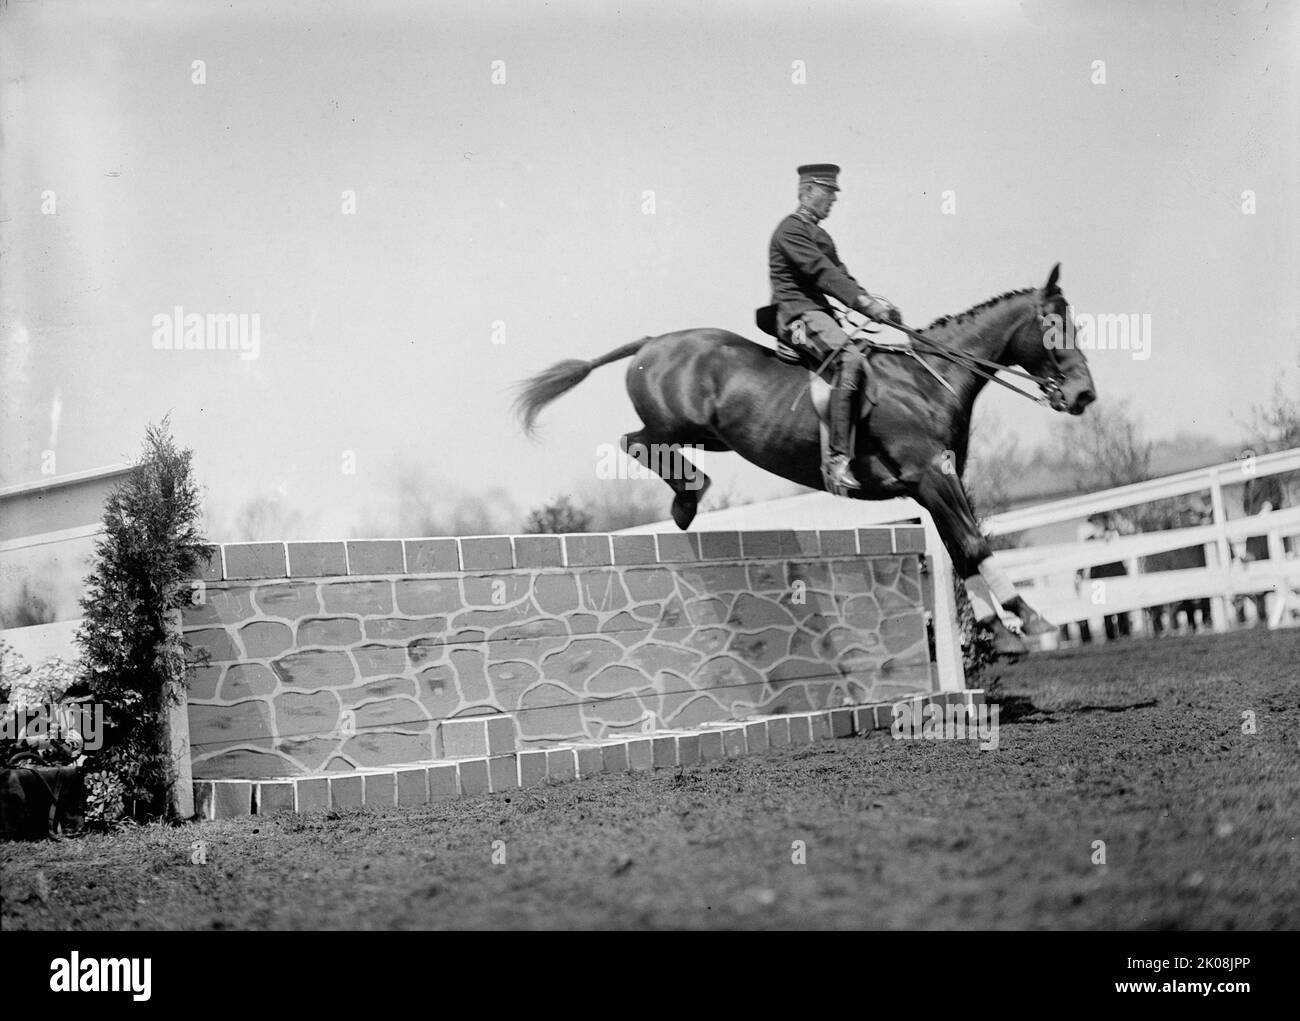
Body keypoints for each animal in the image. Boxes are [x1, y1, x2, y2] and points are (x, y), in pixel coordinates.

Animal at [514, 264, 1096, 657]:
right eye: (1053, 325)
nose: (1083, 395)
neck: (930, 382)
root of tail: (653, 342)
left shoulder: (932, 484)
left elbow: (960, 550)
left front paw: (1001, 629)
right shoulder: (931, 474)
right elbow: (973, 545)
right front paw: (1030, 619)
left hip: (711, 436)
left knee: (640, 443)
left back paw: (686, 499)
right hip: (677, 426)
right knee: (633, 440)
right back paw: (687, 500)